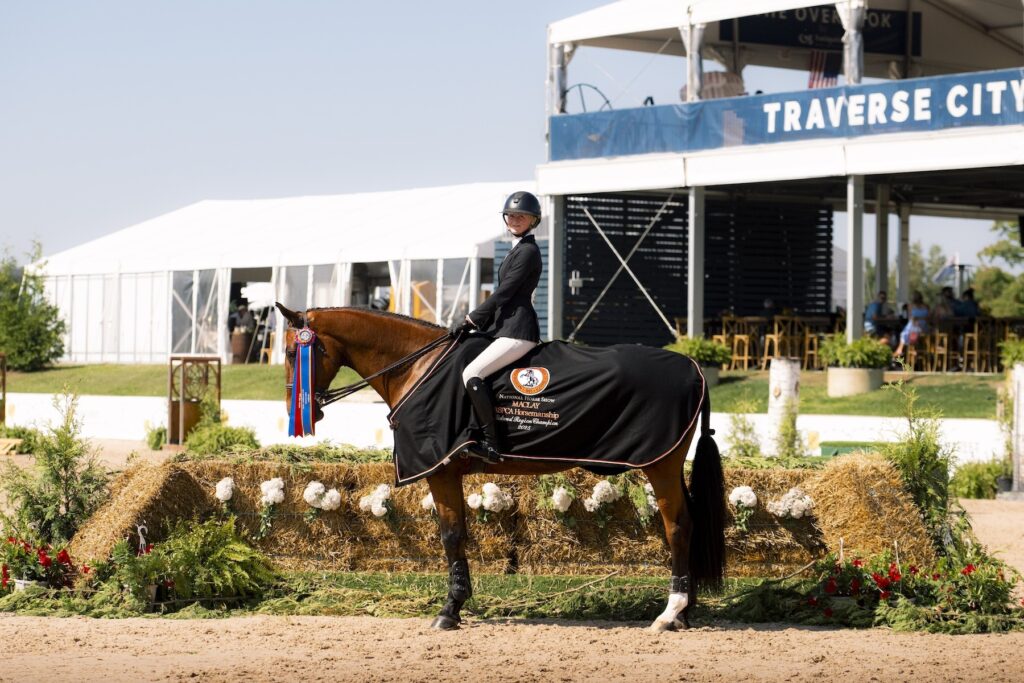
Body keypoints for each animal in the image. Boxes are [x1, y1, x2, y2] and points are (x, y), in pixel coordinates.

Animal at [275, 303, 725, 631]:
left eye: (292, 352)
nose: (304, 409)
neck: (418, 367)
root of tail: (694, 369)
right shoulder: (449, 474)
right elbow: (457, 535)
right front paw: (456, 605)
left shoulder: (440, 472)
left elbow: (452, 537)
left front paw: (449, 611)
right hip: (668, 465)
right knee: (688, 523)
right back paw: (685, 612)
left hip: (660, 465)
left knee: (678, 527)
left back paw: (670, 613)